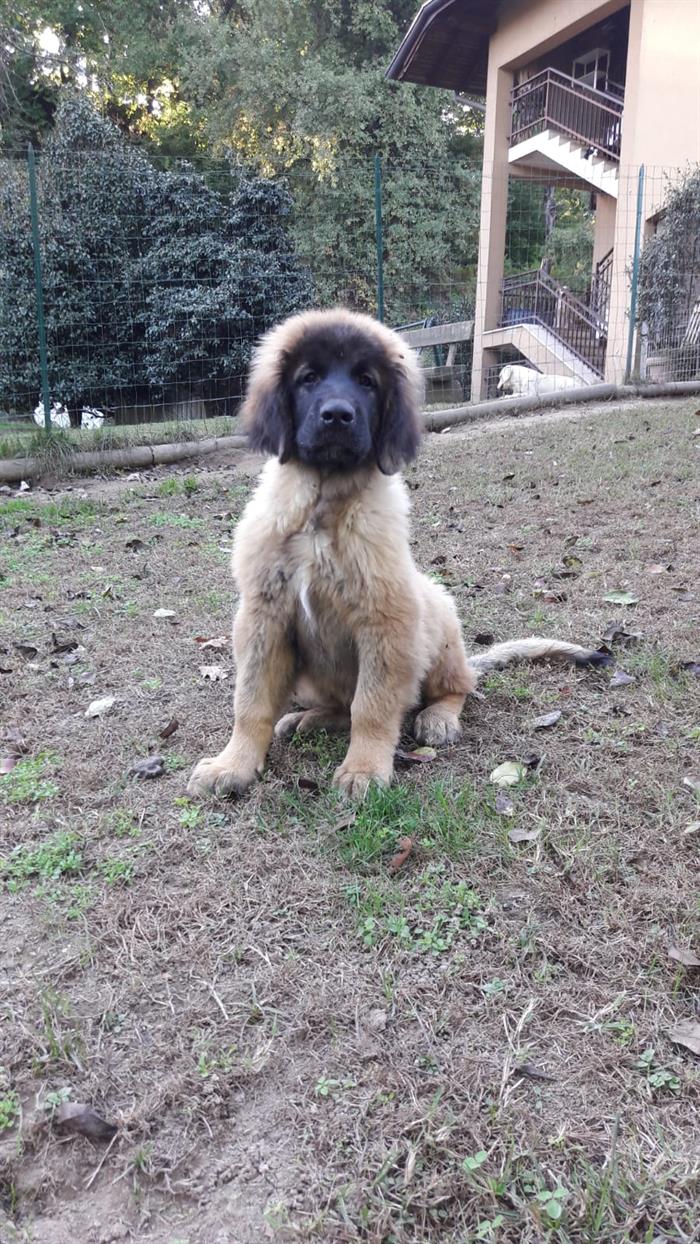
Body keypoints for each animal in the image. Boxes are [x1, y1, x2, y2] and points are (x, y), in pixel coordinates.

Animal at [187, 306, 609, 801]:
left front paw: (364, 769)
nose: (337, 416)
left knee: (454, 687)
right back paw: (307, 718)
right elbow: (250, 703)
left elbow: (372, 707)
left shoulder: (386, 620)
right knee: (340, 705)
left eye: (366, 381)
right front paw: (232, 764)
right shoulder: (263, 616)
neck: (323, 507)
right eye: (308, 378)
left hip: (436, 614)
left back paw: (437, 717)